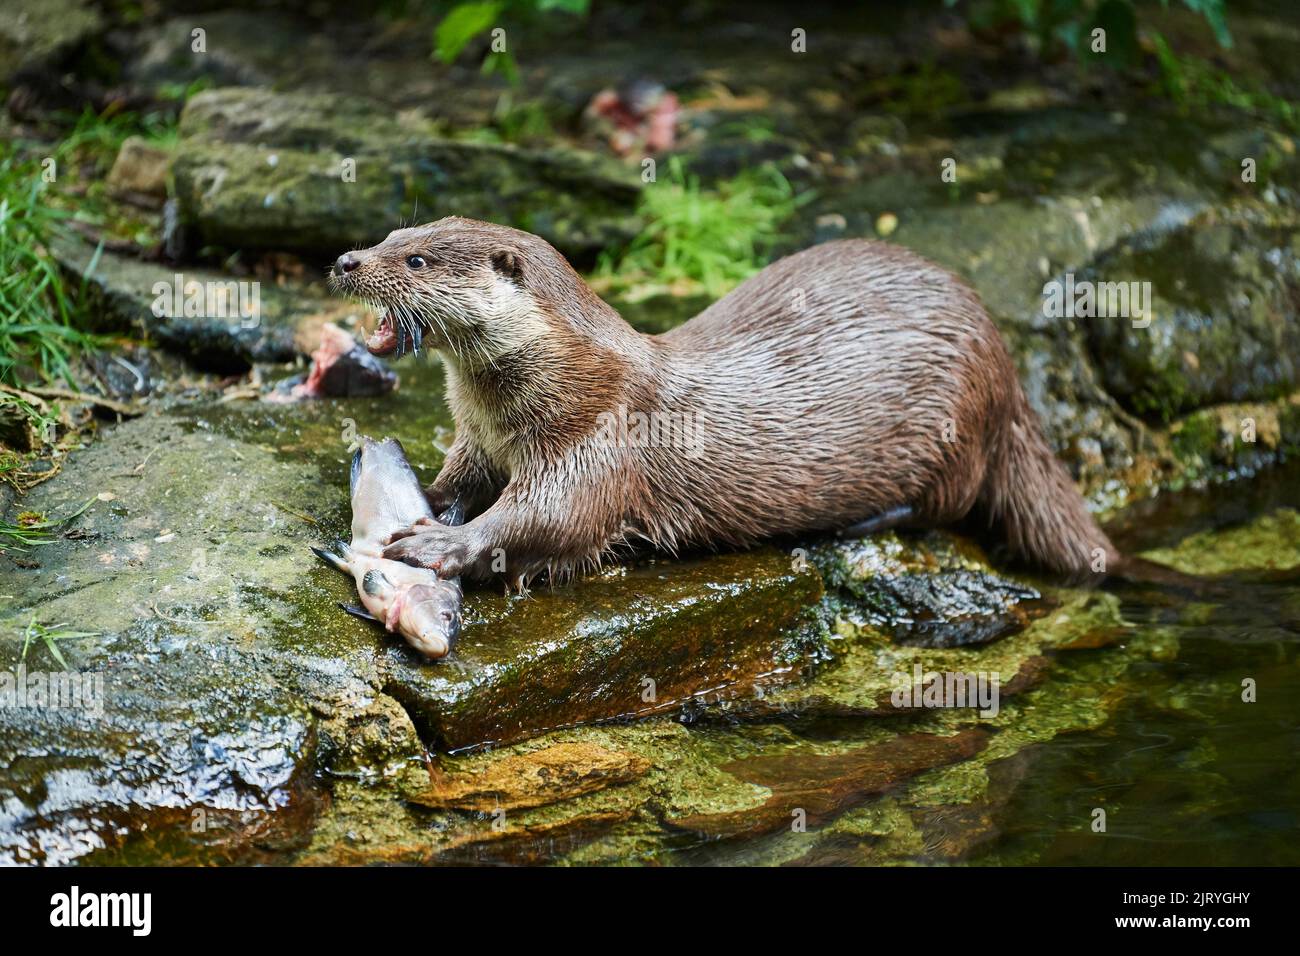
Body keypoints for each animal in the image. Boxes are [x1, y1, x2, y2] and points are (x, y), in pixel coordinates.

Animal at [329, 217, 1119, 587]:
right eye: (393, 233)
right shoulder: (477, 435)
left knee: (947, 503)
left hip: (959, 422)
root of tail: (1008, 370)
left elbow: (549, 519)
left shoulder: (603, 439)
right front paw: (419, 494)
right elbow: (461, 477)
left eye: (416, 260)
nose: (345, 260)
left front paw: (441, 544)